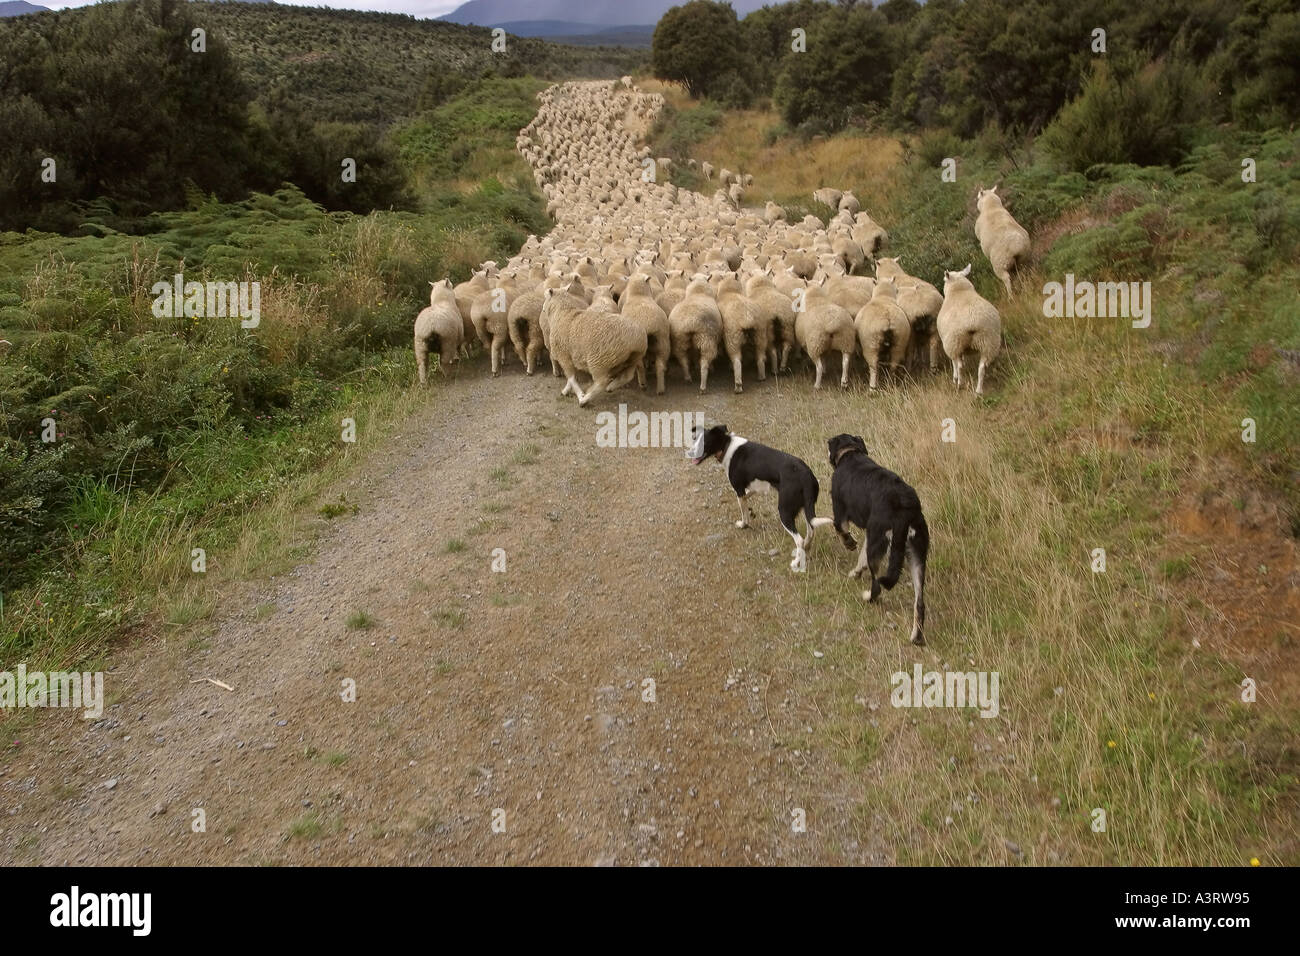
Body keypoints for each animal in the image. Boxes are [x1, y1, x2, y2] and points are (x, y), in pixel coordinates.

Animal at [937, 264, 1002, 395]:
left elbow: (954, 363)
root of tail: (972, 322)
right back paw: (979, 391)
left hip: (955, 342)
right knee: (982, 368)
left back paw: (959, 383)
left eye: (944, 280)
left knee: (959, 365)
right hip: (989, 342)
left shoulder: (949, 344)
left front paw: (955, 377)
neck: (959, 291)